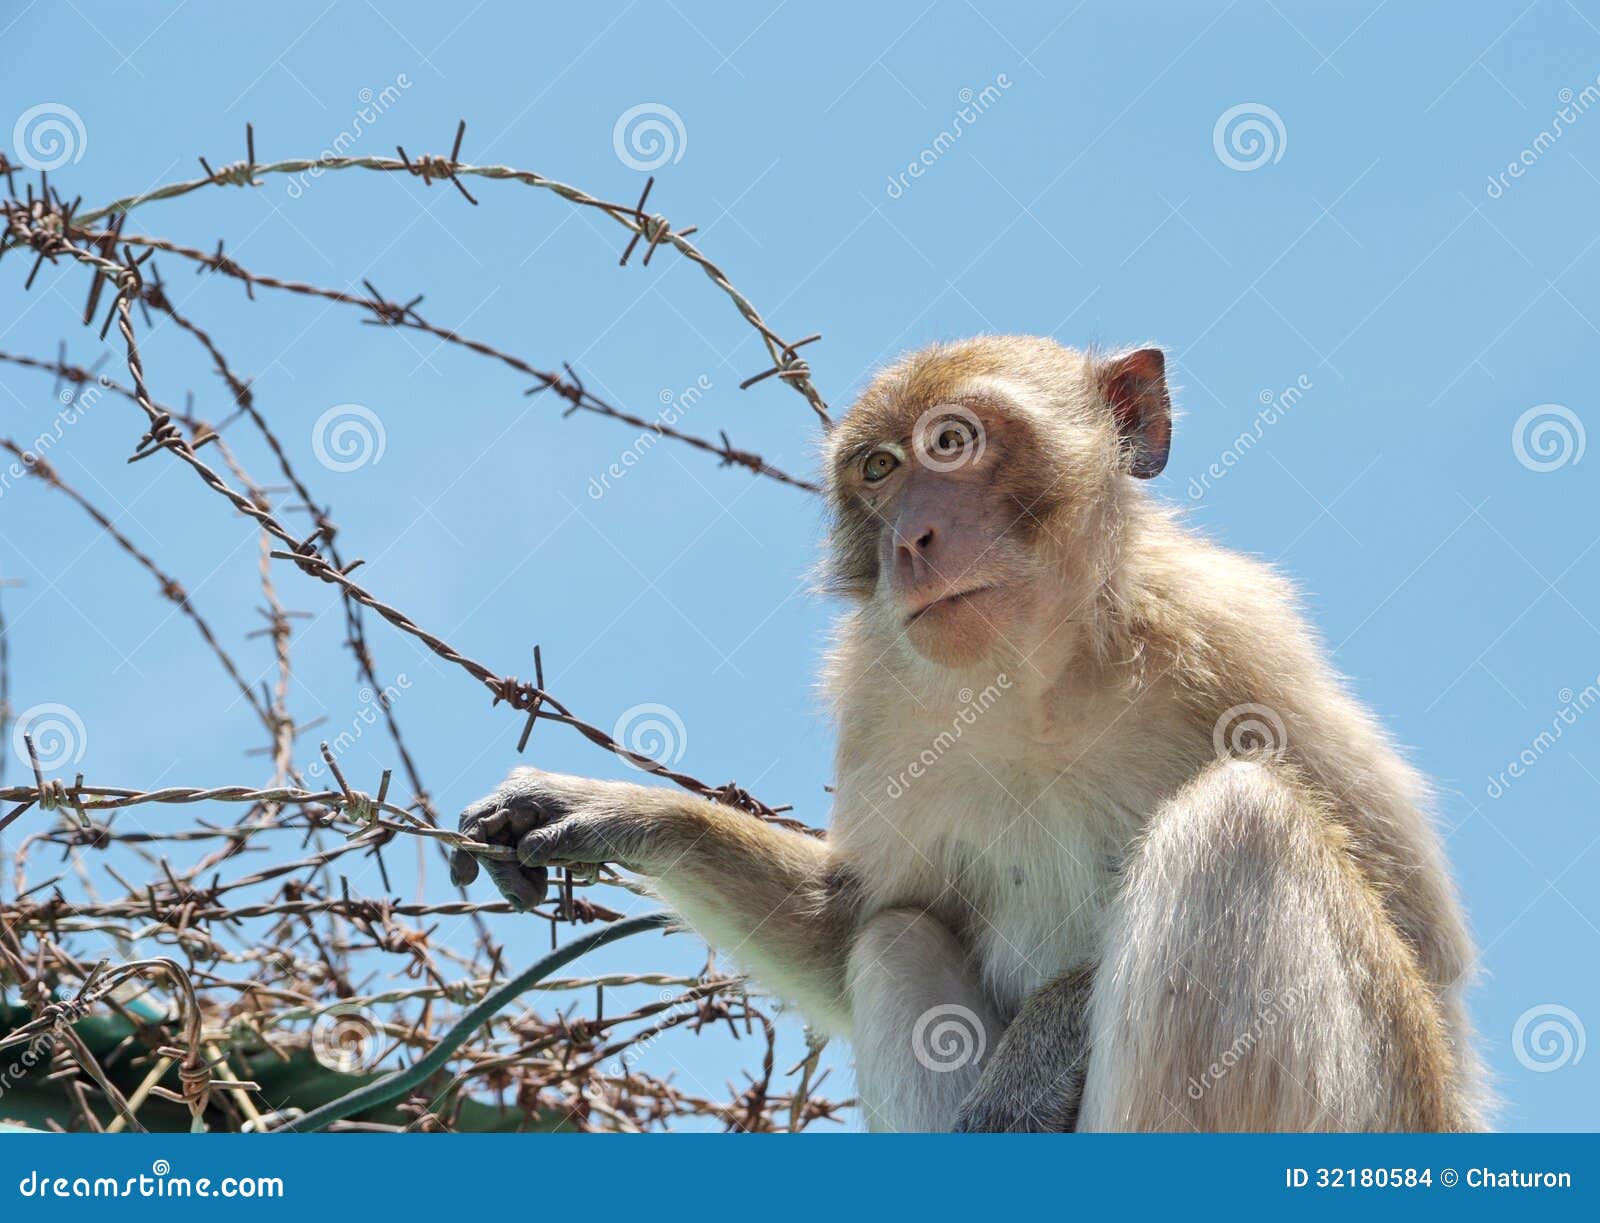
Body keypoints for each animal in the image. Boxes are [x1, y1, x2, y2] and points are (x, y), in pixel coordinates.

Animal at [451, 335, 1488, 1132]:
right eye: (880, 469)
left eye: (953, 443)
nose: (911, 539)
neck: (1036, 681)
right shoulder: (876, 697)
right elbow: (856, 921)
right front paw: (624, 813)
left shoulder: (1240, 637)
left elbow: (1429, 952)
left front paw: (1042, 1045)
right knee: (894, 938)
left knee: (1241, 823)